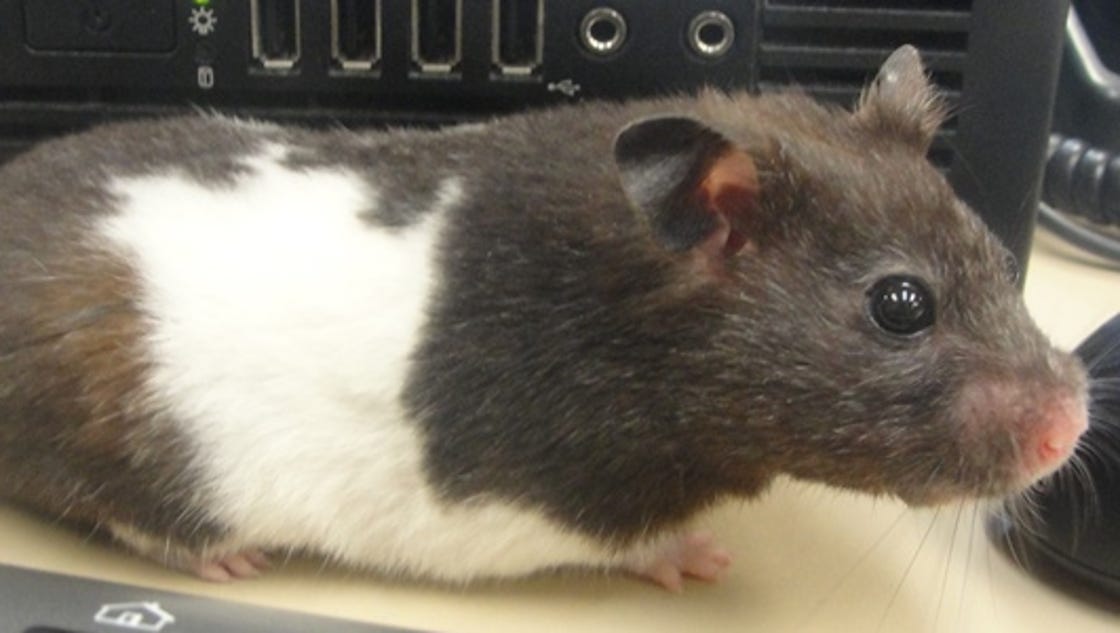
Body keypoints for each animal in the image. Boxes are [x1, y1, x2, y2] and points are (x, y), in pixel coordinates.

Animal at [0, 46, 1089, 590]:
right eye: (900, 306)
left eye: (998, 256)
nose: (1071, 427)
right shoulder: (541, 507)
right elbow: (633, 543)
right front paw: (705, 562)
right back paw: (228, 558)